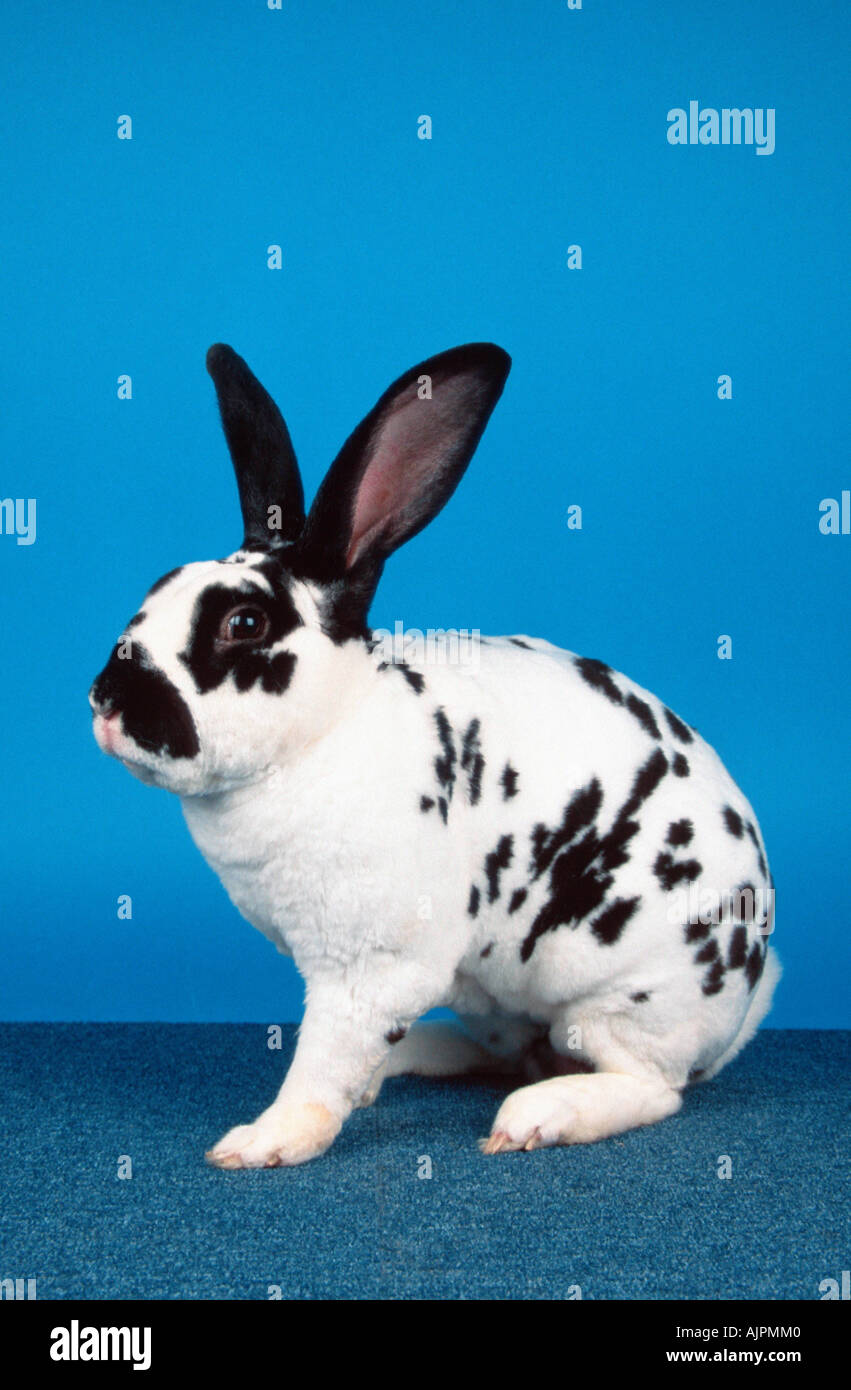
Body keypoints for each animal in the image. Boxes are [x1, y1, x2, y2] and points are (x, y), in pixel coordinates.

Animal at [89, 341, 780, 1168]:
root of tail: (737, 1009)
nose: (105, 700)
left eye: (243, 623)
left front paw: (263, 1142)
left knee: (646, 1085)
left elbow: (321, 1061)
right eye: (156, 589)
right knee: (506, 1052)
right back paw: (409, 1064)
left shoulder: (369, 970)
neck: (327, 728)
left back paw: (533, 1119)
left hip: (618, 997)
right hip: (489, 997)